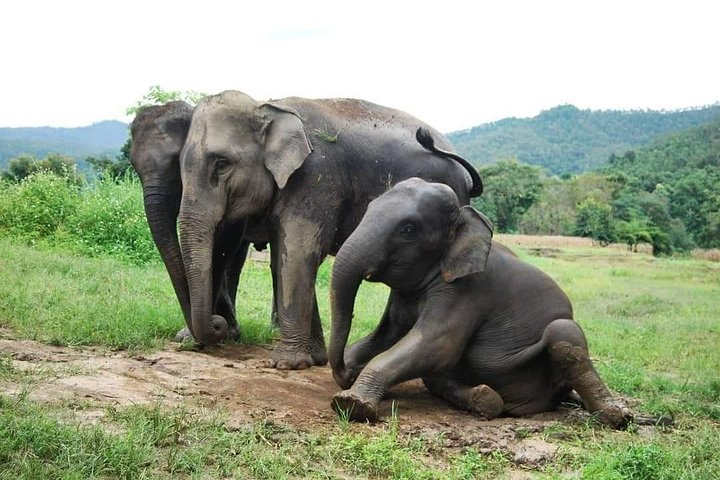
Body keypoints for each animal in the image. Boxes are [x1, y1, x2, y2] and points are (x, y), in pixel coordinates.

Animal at [177, 90, 483, 370]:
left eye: (221, 164)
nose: (217, 327)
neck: (269, 106)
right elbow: (284, 257)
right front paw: (313, 359)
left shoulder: (316, 177)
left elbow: (300, 254)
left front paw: (286, 364)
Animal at [328, 178, 633, 429]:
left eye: (409, 229)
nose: (347, 372)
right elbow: (386, 336)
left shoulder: (467, 291)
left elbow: (436, 347)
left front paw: (351, 403)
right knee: (436, 379)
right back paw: (487, 400)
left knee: (563, 331)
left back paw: (617, 417)